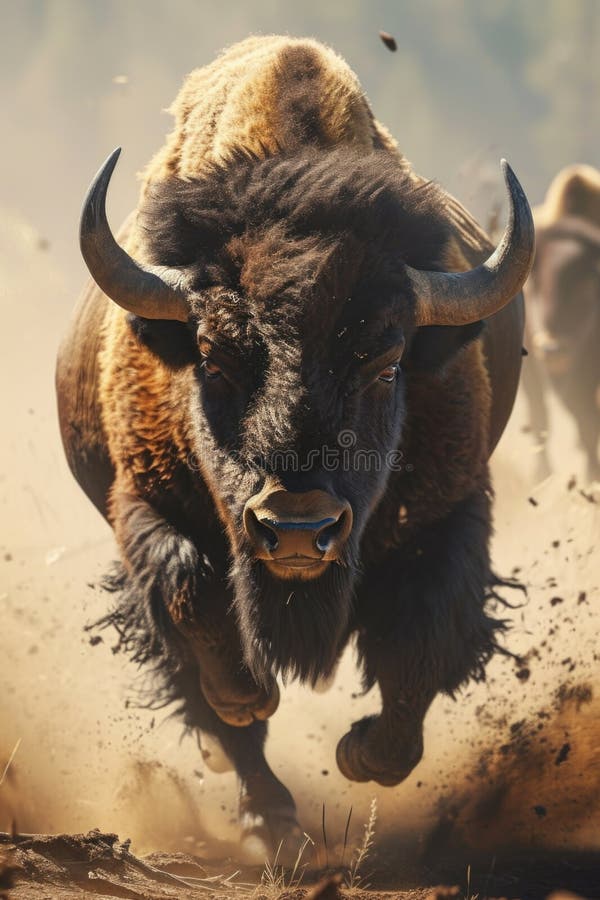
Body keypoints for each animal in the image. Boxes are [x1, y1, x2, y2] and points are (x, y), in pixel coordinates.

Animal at [56, 36, 534, 860]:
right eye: (212, 355)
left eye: (387, 360)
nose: (298, 529)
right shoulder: (143, 503)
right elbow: (193, 604)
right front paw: (247, 704)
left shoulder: (450, 514)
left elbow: (424, 639)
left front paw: (363, 752)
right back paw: (269, 819)